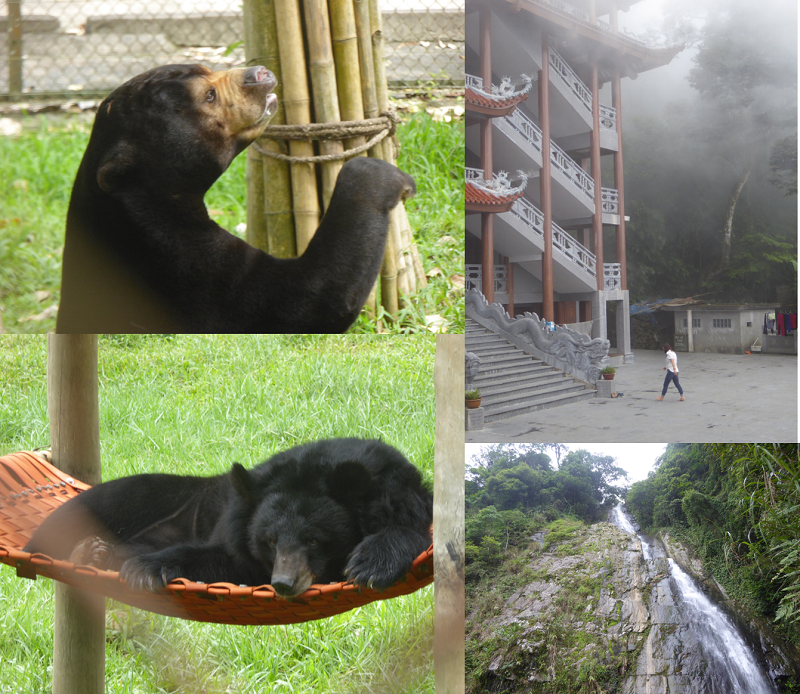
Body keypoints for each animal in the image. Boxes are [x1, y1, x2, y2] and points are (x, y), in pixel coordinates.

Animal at [24, 438, 433, 598]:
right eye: (270, 541)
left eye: (315, 539)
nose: (283, 583)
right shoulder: (236, 527)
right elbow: (223, 558)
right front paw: (145, 569)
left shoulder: (400, 495)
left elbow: (412, 529)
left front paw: (369, 565)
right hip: (127, 497)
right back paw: (88, 551)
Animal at [56, 64, 416, 334]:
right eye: (209, 96)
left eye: (207, 68)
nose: (260, 73)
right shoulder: (179, 268)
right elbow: (302, 299)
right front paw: (382, 175)